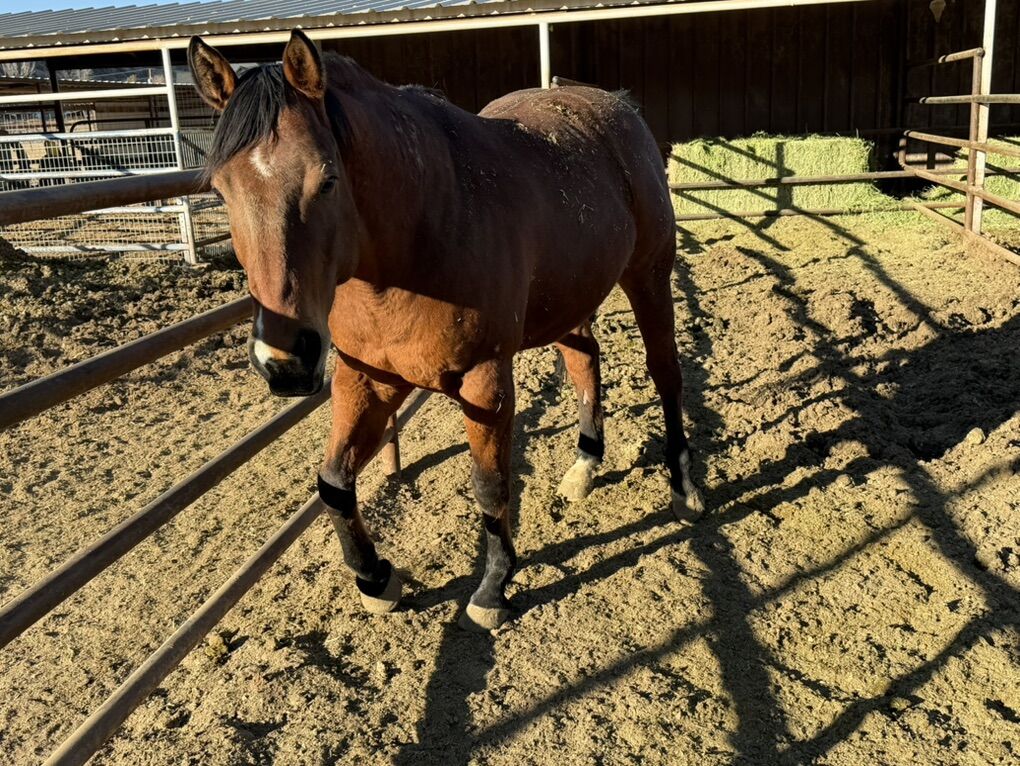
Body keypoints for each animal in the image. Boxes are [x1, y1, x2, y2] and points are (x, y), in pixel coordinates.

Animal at [188, 29, 703, 631]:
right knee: (585, 363)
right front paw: (375, 579)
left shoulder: (485, 380)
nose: (285, 362)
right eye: (221, 190)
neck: (421, 232)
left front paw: (493, 587)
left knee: (665, 373)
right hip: (573, 299)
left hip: (649, 276)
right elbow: (333, 483)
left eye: (327, 179)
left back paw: (684, 488)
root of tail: (617, 106)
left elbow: (490, 484)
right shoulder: (368, 378)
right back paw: (583, 467)